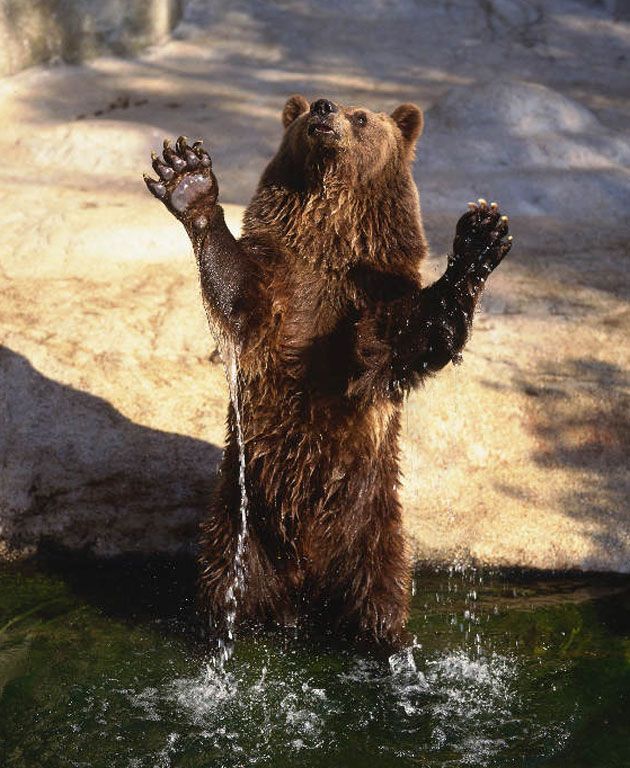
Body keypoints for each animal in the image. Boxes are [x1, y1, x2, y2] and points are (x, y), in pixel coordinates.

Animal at [144, 95, 512, 650]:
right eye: (312, 109)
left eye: (362, 117)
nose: (322, 107)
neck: (329, 240)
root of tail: (302, 592)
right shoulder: (279, 285)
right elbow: (239, 292)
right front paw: (187, 177)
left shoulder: (375, 299)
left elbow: (414, 337)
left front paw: (480, 239)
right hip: (239, 528)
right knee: (227, 588)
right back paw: (219, 634)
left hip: (372, 533)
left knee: (379, 601)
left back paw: (387, 645)